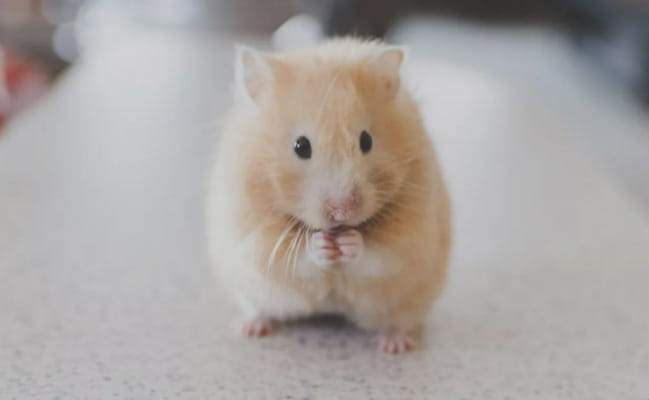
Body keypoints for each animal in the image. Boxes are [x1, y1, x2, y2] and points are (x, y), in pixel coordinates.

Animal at [206, 38, 451, 354]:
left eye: (366, 141)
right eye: (300, 146)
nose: (343, 211)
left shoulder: (411, 234)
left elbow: (379, 253)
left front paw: (349, 242)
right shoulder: (253, 233)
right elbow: (292, 256)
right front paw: (322, 245)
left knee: (401, 321)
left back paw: (394, 345)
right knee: (258, 308)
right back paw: (250, 328)